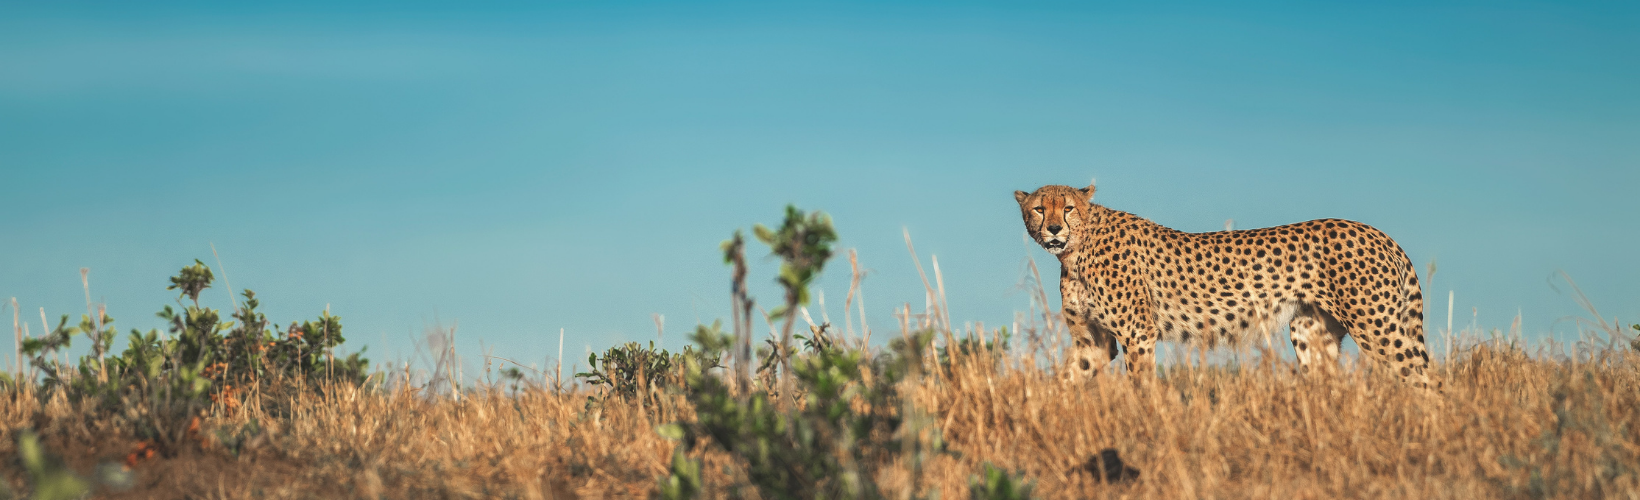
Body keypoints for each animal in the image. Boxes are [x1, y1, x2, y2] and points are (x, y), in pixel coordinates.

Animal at [1014, 182, 1435, 388]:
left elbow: (1140, 384)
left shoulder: (1138, 333)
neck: (1075, 250)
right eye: (1039, 208)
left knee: (1428, 381)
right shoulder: (1094, 342)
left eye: (1067, 207)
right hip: (1310, 331)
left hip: (1378, 328)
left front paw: (1146, 423)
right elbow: (1066, 381)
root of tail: (1376, 231)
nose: (1054, 228)